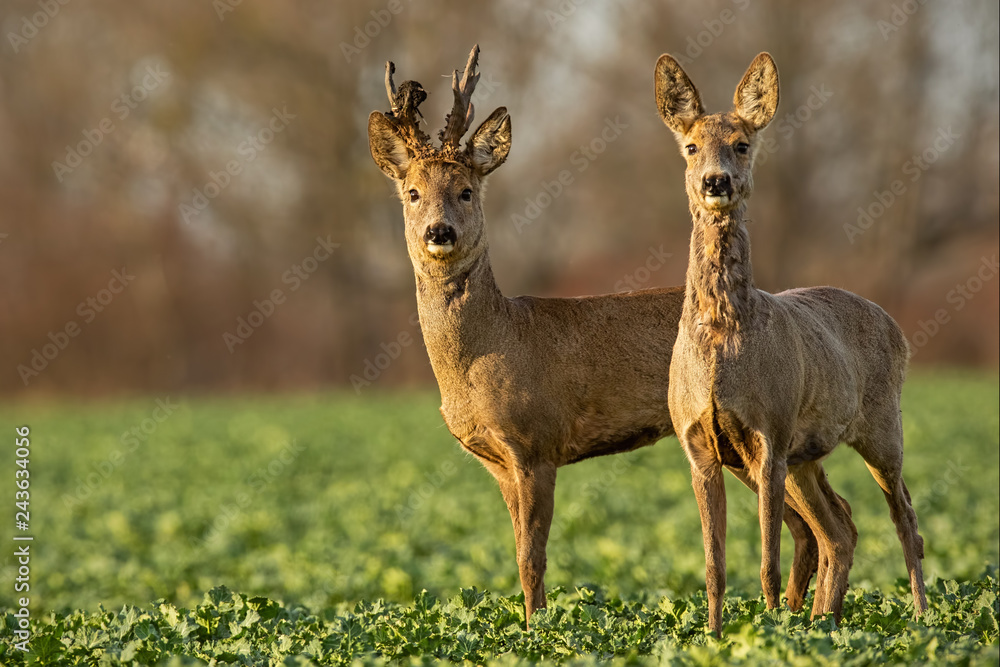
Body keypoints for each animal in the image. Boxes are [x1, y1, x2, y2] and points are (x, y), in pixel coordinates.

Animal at [367, 45, 824, 627]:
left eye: (466, 191)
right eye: (412, 193)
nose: (438, 232)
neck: (490, 348)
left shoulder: (537, 443)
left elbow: (531, 558)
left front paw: (534, 630)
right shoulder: (497, 462)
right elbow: (518, 550)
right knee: (815, 527)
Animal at [654, 51, 929, 635]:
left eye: (742, 143)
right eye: (690, 146)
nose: (716, 181)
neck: (722, 346)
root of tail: (895, 325)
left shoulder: (770, 435)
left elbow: (767, 564)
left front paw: (766, 630)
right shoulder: (700, 446)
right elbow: (713, 567)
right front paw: (713, 637)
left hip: (880, 427)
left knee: (905, 517)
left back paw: (920, 617)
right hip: (804, 456)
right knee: (840, 526)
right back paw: (825, 622)